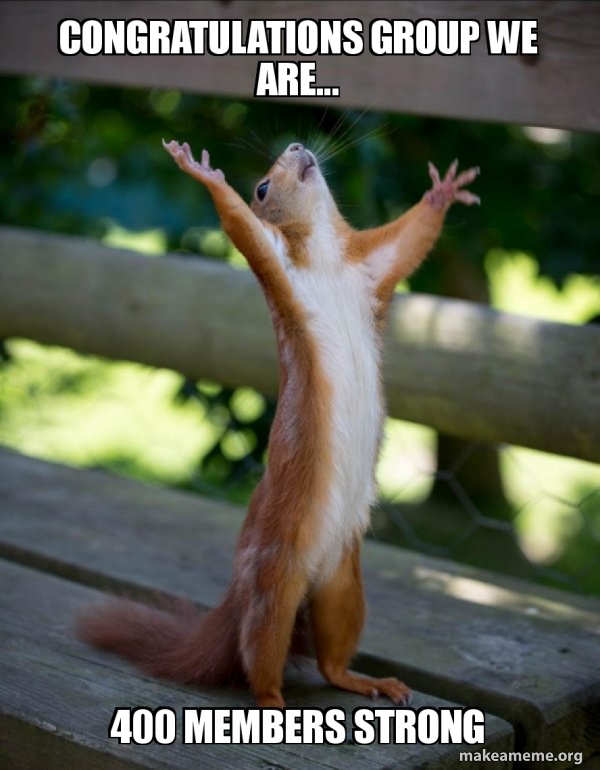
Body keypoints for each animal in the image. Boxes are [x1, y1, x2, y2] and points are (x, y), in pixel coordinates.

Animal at [78, 138, 479, 709]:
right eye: (262, 187)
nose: (296, 146)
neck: (327, 258)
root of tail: (238, 595)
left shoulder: (372, 267)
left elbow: (410, 240)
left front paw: (442, 192)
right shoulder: (277, 264)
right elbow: (240, 225)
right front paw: (203, 173)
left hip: (344, 586)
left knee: (332, 659)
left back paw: (366, 680)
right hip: (274, 583)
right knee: (258, 655)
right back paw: (273, 701)